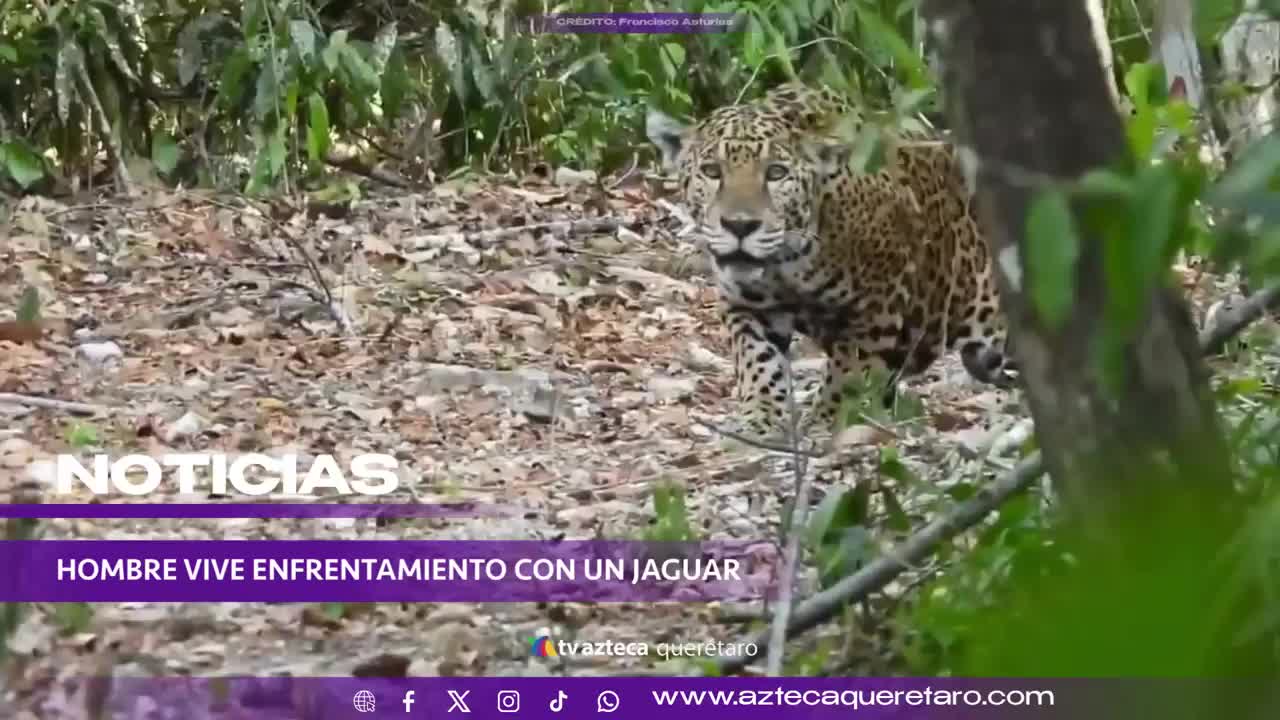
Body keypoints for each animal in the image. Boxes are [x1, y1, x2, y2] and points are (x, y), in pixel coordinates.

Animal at [645, 82, 1015, 438]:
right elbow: (758, 362)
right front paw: (761, 418)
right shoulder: (746, 306)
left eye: (776, 173)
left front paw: (826, 420)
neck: (787, 260)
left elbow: (848, 372)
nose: (739, 226)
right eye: (712, 171)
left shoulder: (877, 308)